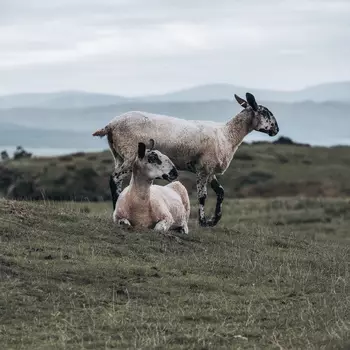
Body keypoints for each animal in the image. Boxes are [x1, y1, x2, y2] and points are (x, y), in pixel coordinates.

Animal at [92, 92, 278, 227]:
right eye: (265, 112)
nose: (276, 129)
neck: (227, 135)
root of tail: (111, 125)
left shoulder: (209, 170)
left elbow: (221, 192)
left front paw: (214, 220)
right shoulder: (204, 168)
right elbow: (202, 196)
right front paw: (203, 222)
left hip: (118, 155)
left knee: (115, 178)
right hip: (131, 154)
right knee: (115, 178)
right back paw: (117, 210)